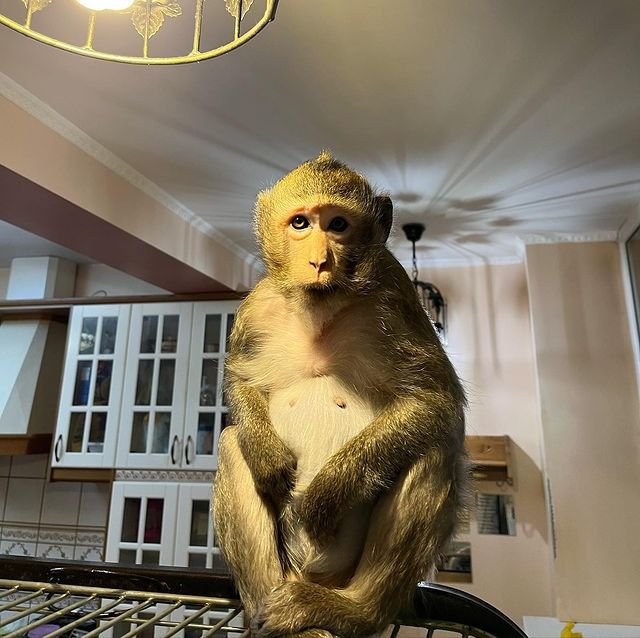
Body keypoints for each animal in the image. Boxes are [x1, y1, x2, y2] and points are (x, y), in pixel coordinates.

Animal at [213, 152, 467, 638]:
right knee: (233, 445)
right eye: (300, 223)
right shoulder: (255, 306)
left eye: (338, 224)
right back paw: (267, 614)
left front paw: (328, 494)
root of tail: (311, 578)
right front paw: (268, 458)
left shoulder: (396, 294)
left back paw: (351, 611)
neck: (321, 308)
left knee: (433, 450)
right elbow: (242, 381)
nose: (318, 261)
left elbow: (435, 400)